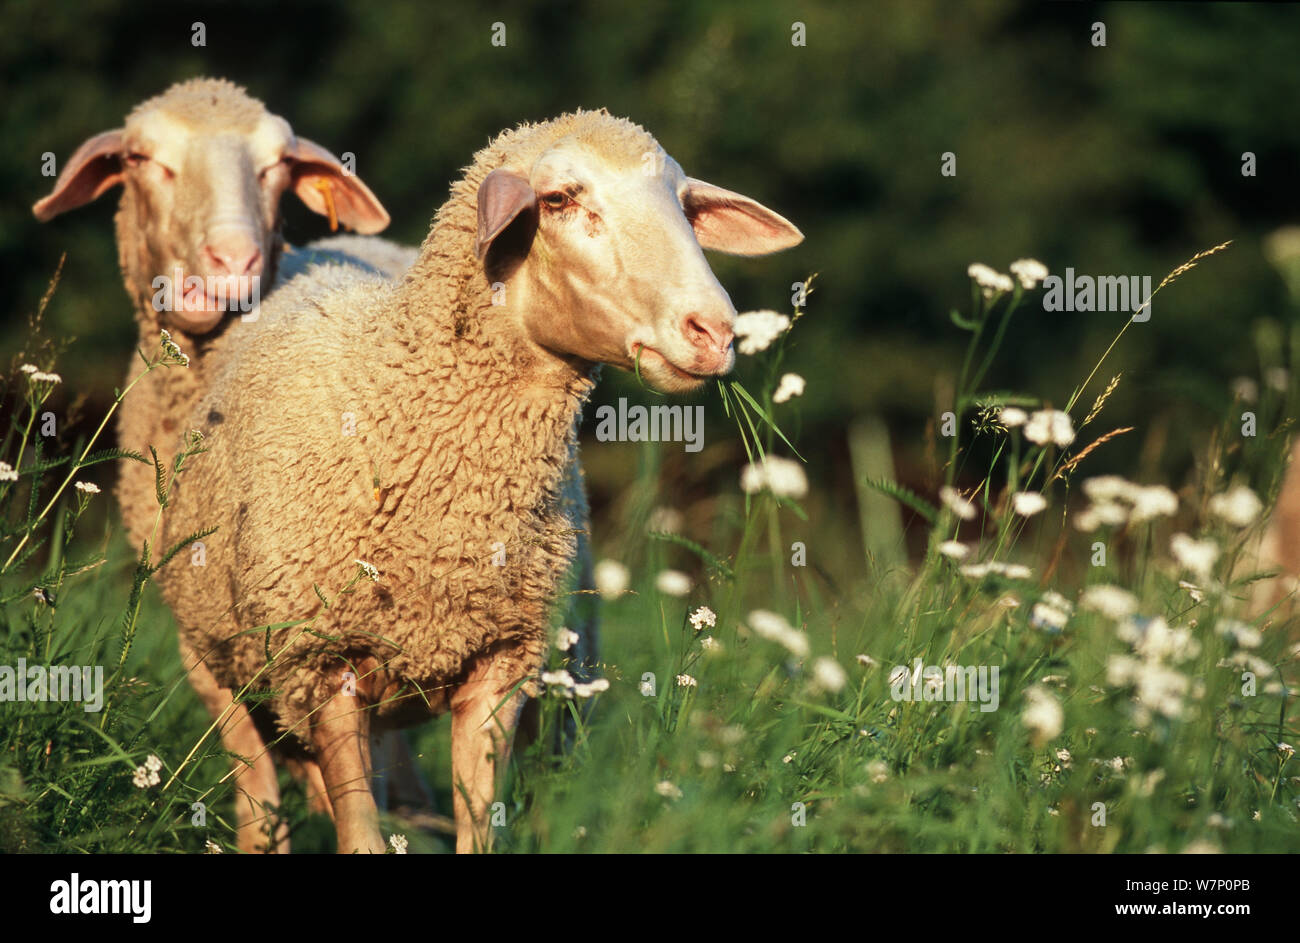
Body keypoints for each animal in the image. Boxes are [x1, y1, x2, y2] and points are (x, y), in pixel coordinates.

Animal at [155, 109, 803, 852]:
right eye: (560, 199)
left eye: (684, 204)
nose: (714, 331)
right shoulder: (322, 664)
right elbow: (359, 832)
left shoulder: (503, 659)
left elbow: (480, 820)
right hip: (212, 664)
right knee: (259, 793)